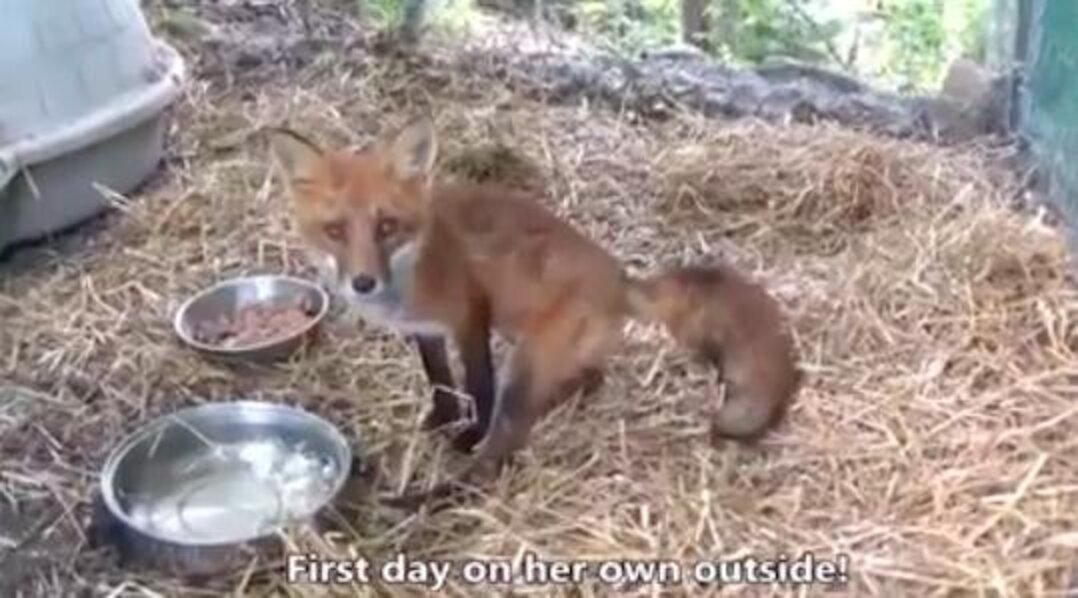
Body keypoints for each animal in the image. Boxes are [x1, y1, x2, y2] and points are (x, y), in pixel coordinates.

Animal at [265, 118, 802, 506]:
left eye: (387, 226)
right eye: (335, 230)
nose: (362, 282)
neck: (412, 271)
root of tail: (620, 277)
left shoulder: (469, 315)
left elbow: (477, 387)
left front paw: (467, 436)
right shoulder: (427, 331)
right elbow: (440, 381)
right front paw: (443, 420)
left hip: (523, 362)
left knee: (503, 449)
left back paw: (433, 496)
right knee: (592, 377)